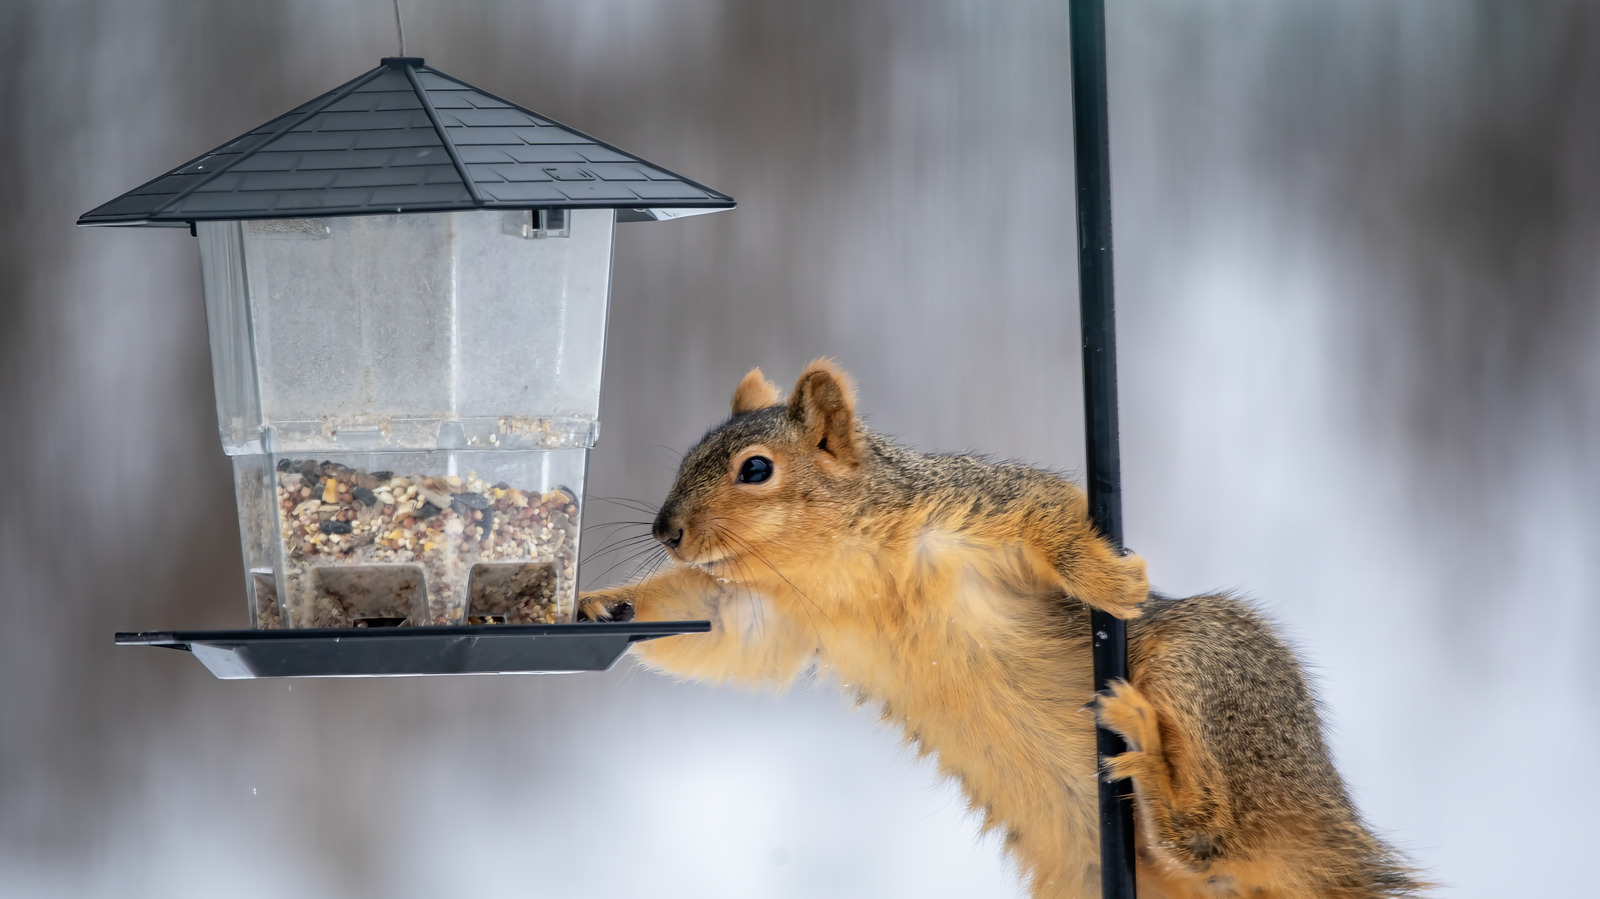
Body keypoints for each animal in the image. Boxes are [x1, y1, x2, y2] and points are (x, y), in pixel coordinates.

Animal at [580, 359, 1426, 899]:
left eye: (755, 468)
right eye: (689, 455)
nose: (666, 532)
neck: (838, 565)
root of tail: (1335, 841)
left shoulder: (975, 505)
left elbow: (1050, 511)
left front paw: (1104, 577)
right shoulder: (778, 614)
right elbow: (721, 635)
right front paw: (602, 605)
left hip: (1207, 662)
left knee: (1209, 830)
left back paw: (1149, 752)